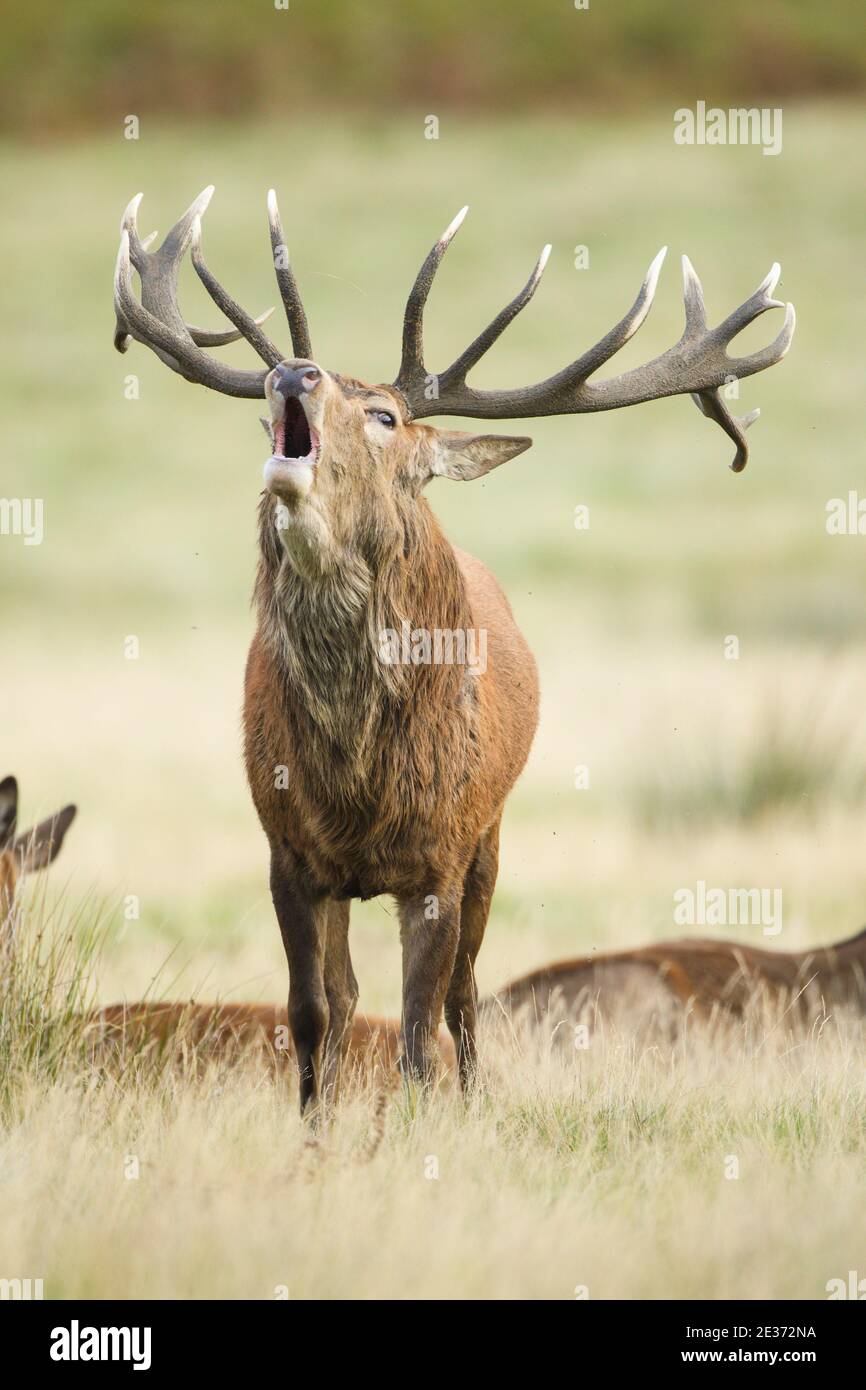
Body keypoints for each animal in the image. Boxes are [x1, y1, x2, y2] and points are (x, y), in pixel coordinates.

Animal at [113, 185, 795, 1114]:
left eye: (385, 415)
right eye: (265, 407)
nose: (293, 371)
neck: (356, 777)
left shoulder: (442, 850)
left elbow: (418, 1029)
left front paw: (422, 1123)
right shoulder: (287, 849)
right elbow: (312, 1015)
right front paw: (315, 1131)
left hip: (492, 834)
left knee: (466, 995)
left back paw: (473, 1098)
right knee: (353, 998)